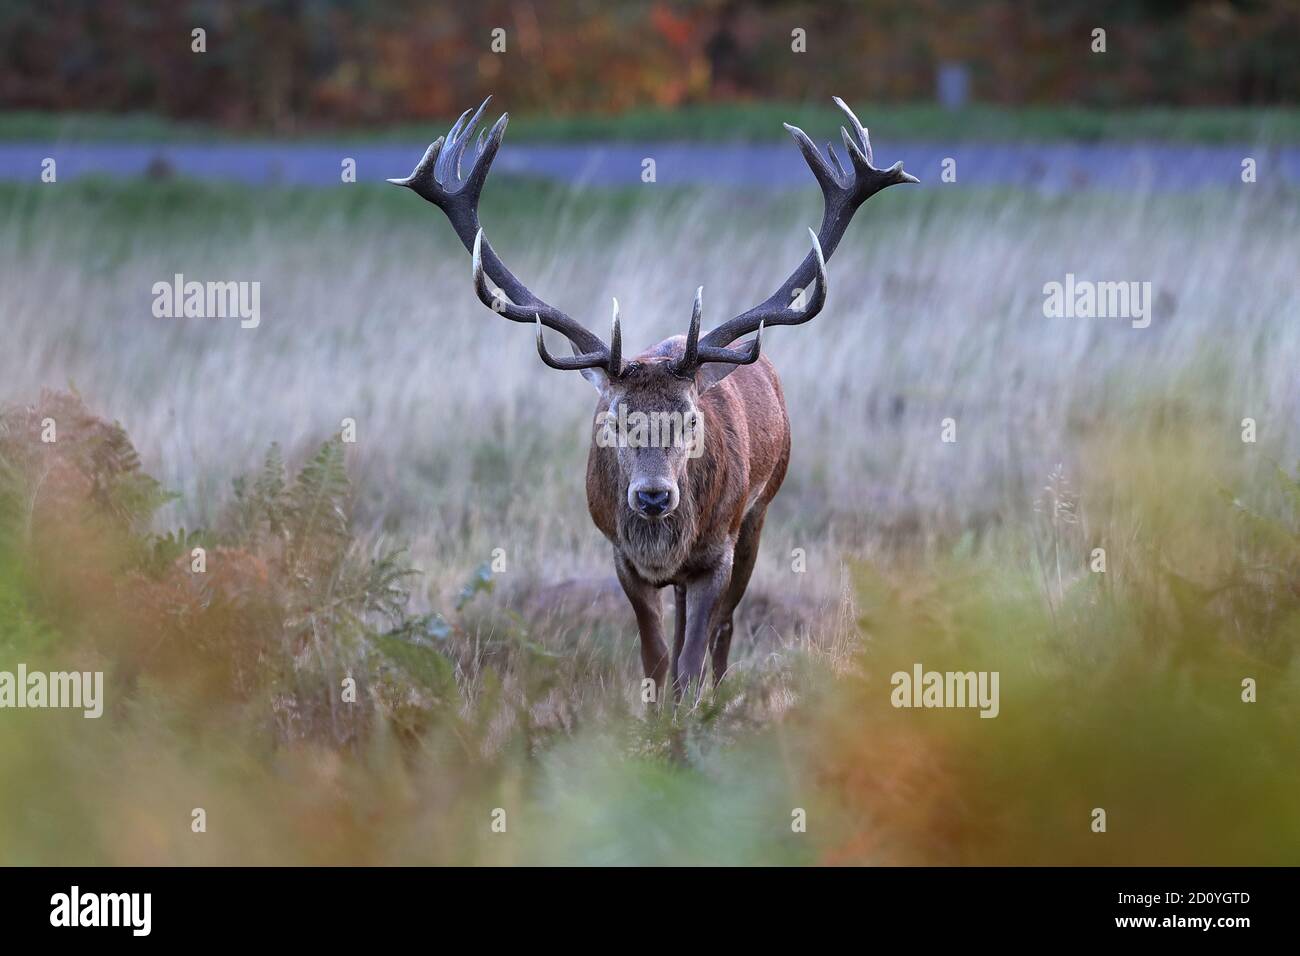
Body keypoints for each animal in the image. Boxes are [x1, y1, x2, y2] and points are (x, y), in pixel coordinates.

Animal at [389, 96, 916, 701]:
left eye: (690, 420)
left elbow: (690, 661)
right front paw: (654, 715)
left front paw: (689, 719)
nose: (654, 496)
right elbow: (656, 659)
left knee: (724, 628)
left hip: (760, 510)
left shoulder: (719, 550)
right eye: (616, 420)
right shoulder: (621, 556)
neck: (664, 548)